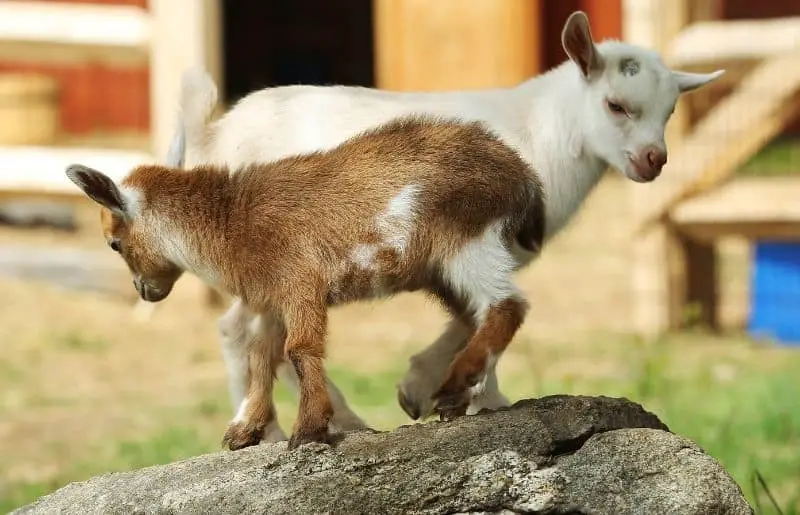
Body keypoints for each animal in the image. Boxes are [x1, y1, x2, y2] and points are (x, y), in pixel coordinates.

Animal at [65, 115, 546, 449]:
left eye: (114, 243)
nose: (145, 291)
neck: (231, 218)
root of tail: (519, 173)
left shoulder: (300, 281)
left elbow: (298, 350)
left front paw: (308, 431)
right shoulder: (270, 300)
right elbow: (261, 356)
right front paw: (245, 431)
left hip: (469, 241)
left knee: (508, 306)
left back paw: (456, 386)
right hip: (443, 270)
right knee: (476, 316)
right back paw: (457, 397)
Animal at [171, 10, 727, 444]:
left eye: (670, 110)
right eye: (616, 105)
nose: (653, 160)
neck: (538, 130)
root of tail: (215, 133)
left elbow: (469, 313)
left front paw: (434, 391)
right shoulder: (474, 238)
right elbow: (483, 311)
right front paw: (471, 397)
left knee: (251, 330)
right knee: (243, 329)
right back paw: (283, 428)